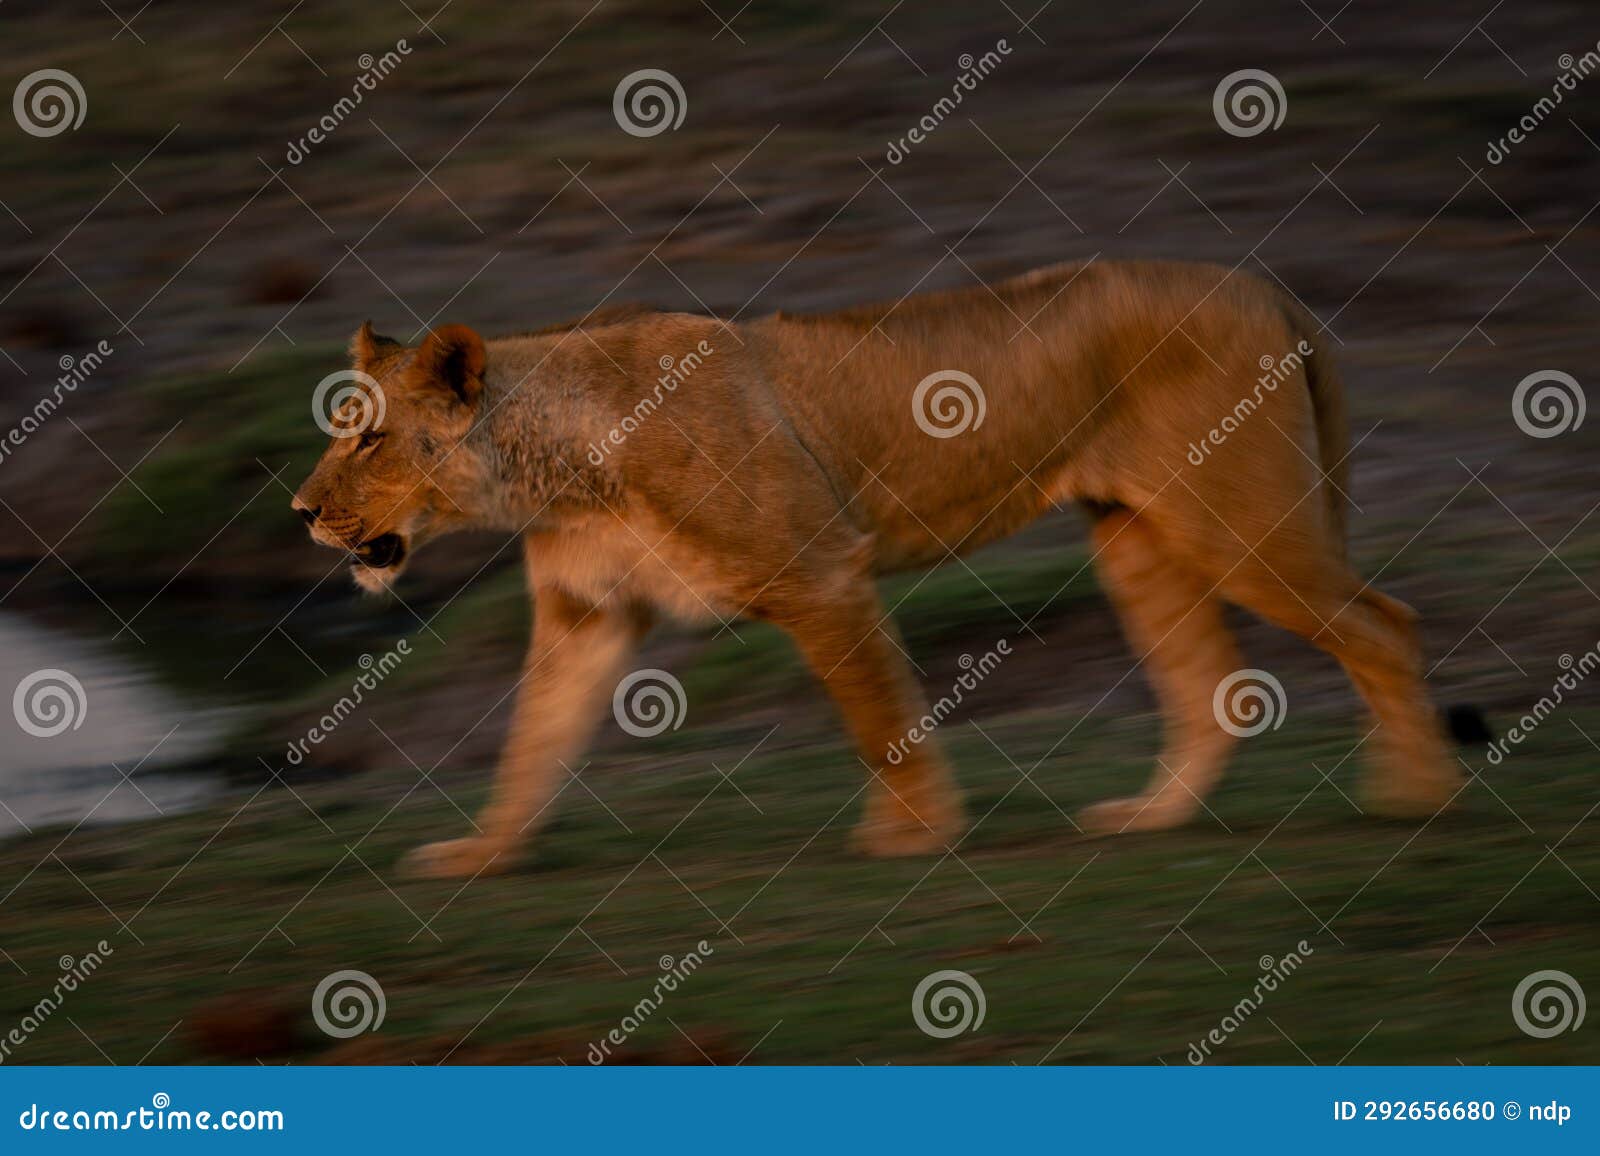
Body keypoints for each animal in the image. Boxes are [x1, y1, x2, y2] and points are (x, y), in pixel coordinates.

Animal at [292, 259, 1465, 879]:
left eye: (368, 437)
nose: (301, 513)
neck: (558, 466)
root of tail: (1262, 284)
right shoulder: (587, 615)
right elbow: (531, 742)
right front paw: (480, 856)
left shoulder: (817, 572)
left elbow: (874, 715)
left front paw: (913, 835)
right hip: (1137, 540)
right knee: (1216, 688)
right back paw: (1153, 819)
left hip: (1240, 522)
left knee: (1384, 624)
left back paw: (1414, 796)